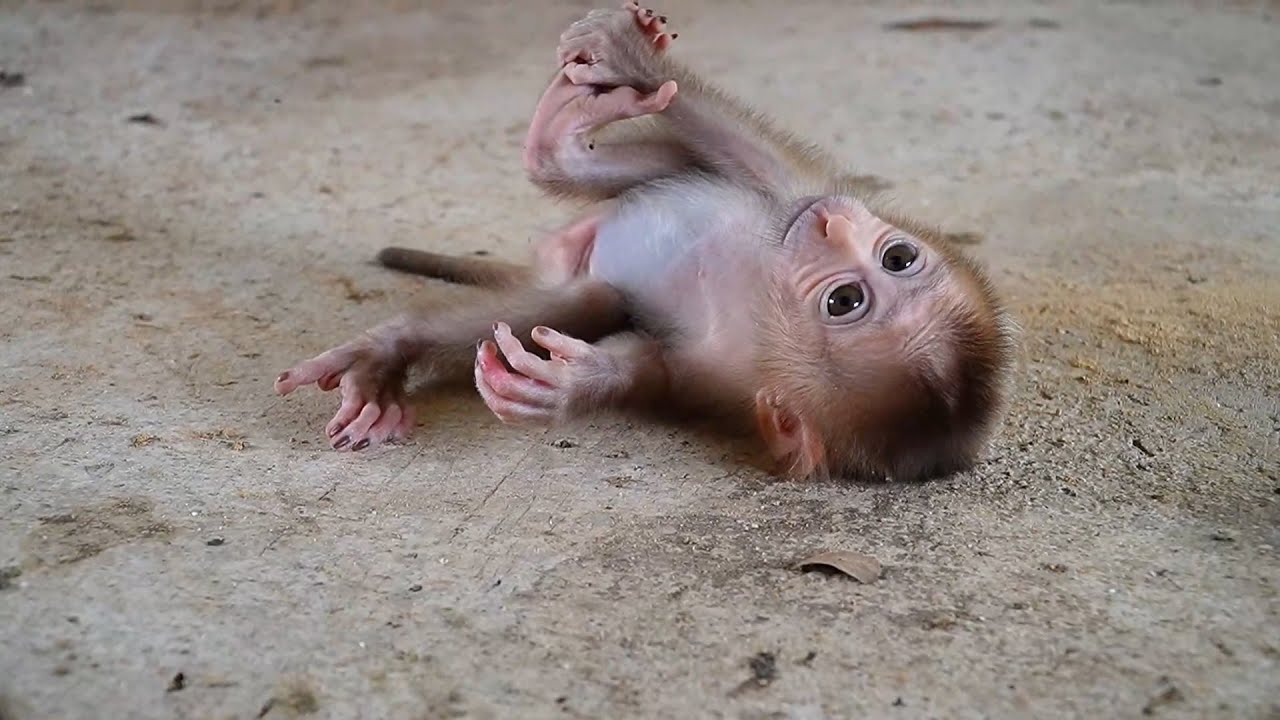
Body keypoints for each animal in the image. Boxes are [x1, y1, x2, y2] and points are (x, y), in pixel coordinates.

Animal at [273, 3, 1016, 482]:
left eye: (844, 302)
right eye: (898, 258)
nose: (834, 225)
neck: (766, 303)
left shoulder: (717, 378)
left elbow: (644, 364)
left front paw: (572, 385)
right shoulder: (793, 200)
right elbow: (765, 168)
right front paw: (632, 54)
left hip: (579, 272)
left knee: (590, 299)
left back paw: (386, 359)